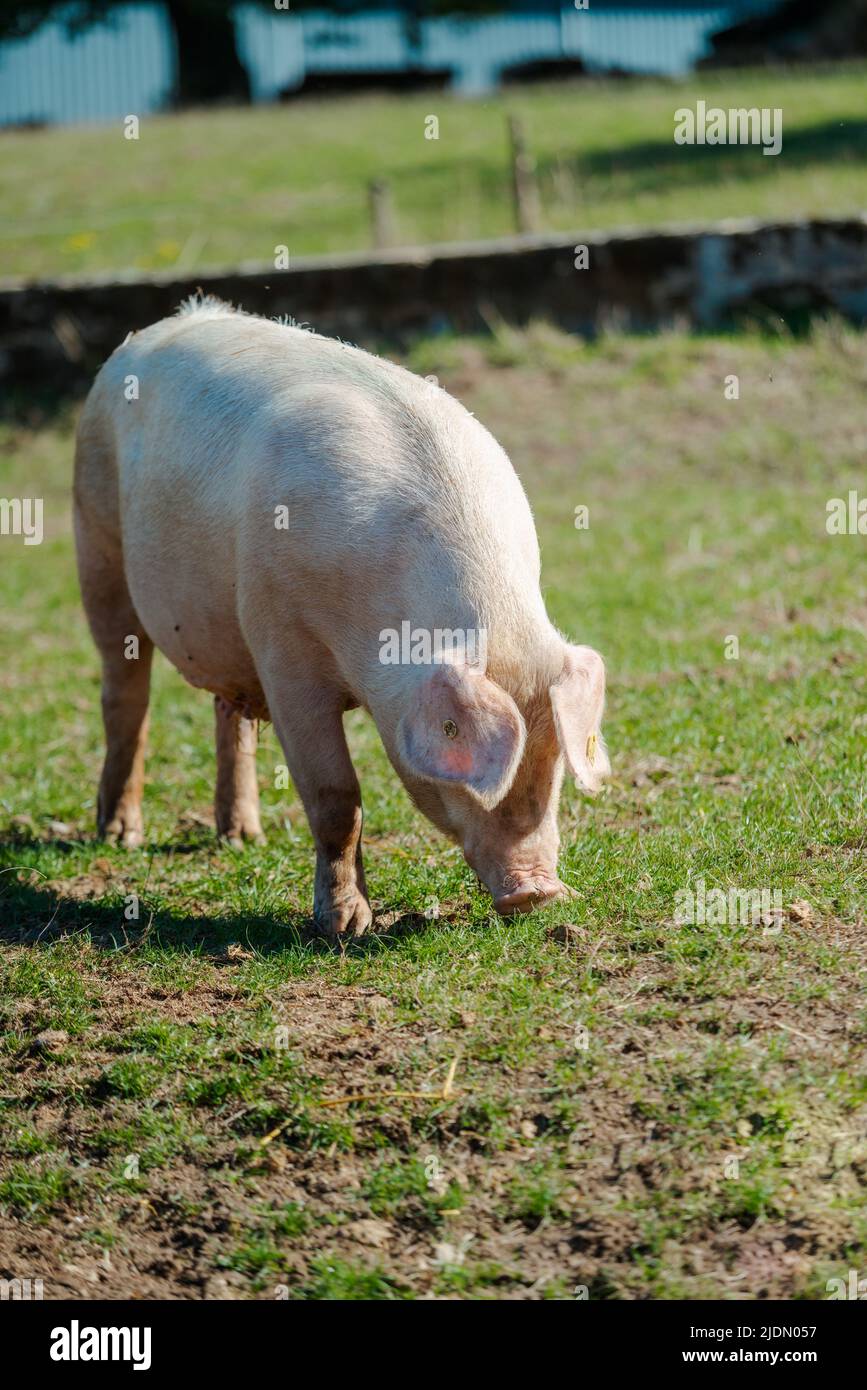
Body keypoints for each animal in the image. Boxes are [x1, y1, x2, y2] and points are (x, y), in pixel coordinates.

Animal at [73, 296, 610, 937]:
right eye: (463, 754)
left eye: (555, 763)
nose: (538, 892)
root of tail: (152, 332)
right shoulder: (284, 650)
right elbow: (336, 798)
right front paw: (345, 928)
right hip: (96, 535)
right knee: (124, 692)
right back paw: (120, 836)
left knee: (228, 715)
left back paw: (242, 839)